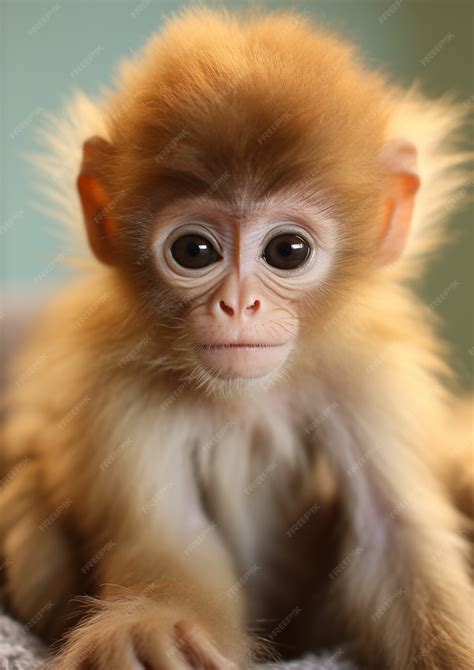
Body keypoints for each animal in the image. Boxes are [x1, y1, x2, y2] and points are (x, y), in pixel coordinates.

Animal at [0, 7, 473, 669]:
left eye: (288, 250)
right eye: (194, 250)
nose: (238, 305)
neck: (250, 400)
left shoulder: (369, 379)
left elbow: (396, 539)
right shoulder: (118, 389)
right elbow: (167, 539)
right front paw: (145, 631)